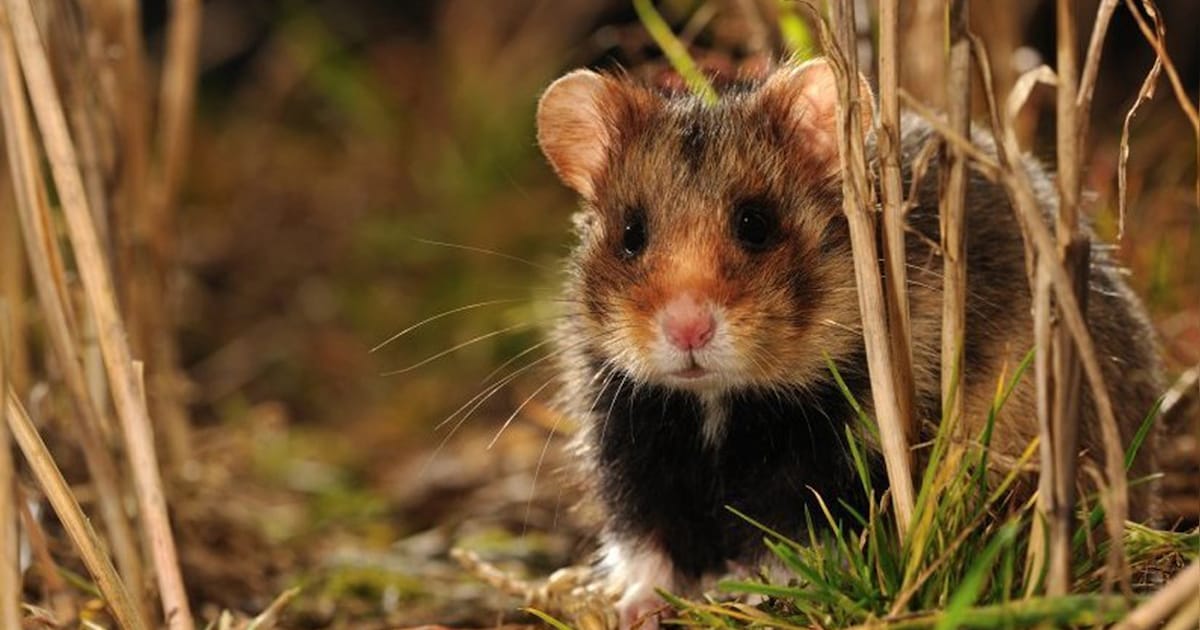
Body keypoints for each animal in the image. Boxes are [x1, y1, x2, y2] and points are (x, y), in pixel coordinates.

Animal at [534, 58, 1162, 627]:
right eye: (631, 234)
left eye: (755, 224)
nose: (687, 329)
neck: (719, 401)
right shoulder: (631, 441)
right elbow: (649, 545)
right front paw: (632, 610)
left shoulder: (838, 460)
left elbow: (793, 543)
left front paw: (751, 595)